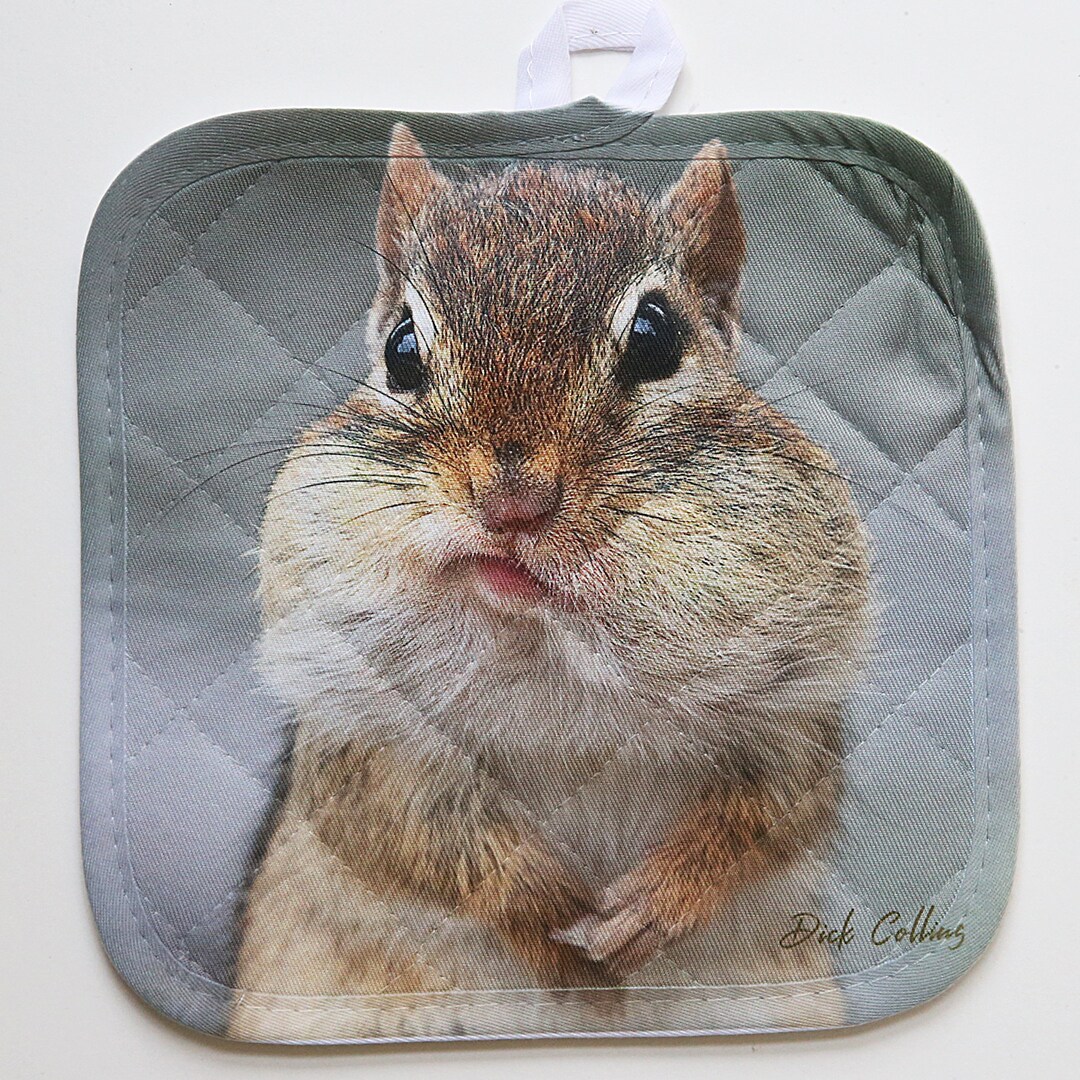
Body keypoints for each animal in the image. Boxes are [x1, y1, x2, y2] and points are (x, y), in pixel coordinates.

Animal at [229, 123, 870, 1040]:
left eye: (656, 337)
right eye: (401, 350)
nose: (513, 502)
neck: (543, 641)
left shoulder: (793, 705)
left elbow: (766, 814)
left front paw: (649, 907)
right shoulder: (359, 720)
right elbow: (411, 828)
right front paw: (554, 925)